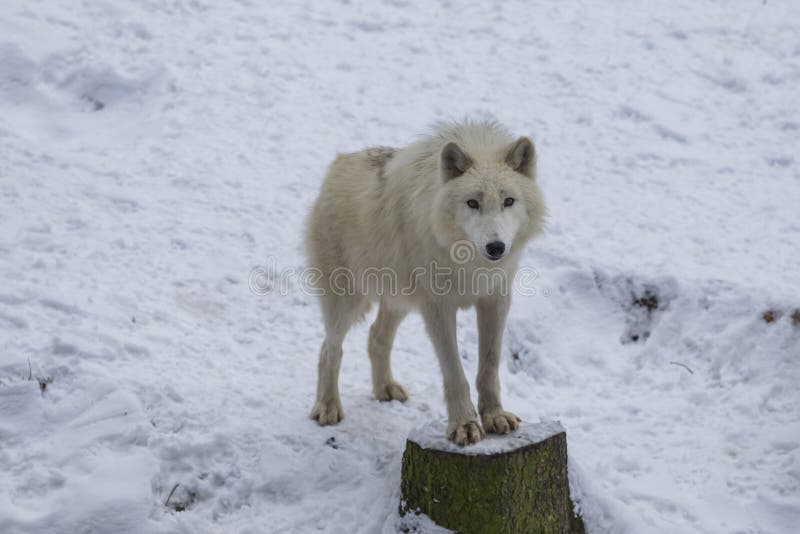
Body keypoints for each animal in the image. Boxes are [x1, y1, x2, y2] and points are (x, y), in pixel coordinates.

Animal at [305, 120, 546, 445]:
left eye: (509, 201)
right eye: (473, 203)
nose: (496, 247)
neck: (469, 264)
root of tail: (339, 162)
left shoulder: (495, 300)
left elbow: (489, 367)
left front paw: (495, 416)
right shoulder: (438, 308)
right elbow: (455, 373)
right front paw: (464, 425)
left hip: (400, 300)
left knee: (376, 337)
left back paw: (385, 389)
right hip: (347, 302)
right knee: (329, 349)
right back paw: (328, 407)